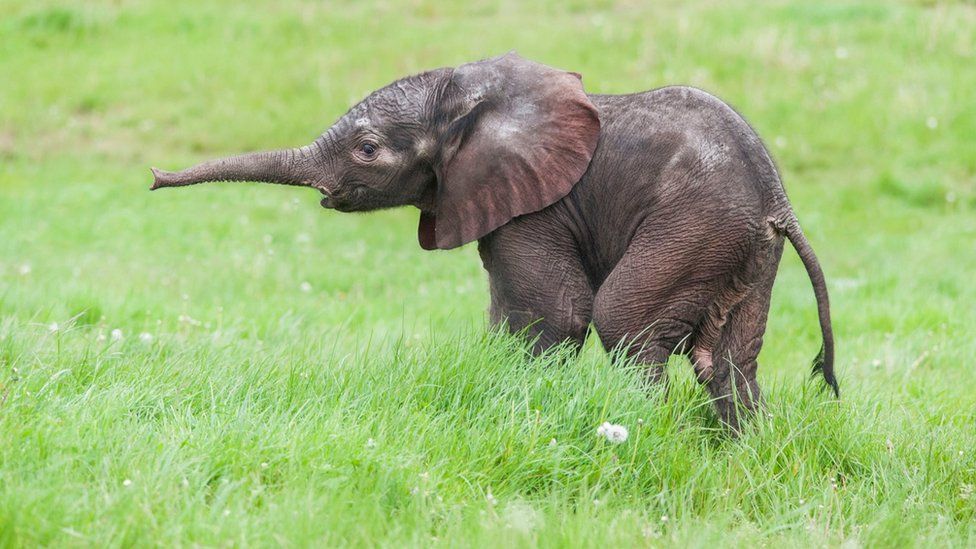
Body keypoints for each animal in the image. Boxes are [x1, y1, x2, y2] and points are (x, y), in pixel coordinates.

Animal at [150, 53, 837, 430]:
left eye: (367, 149)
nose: (154, 178)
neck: (468, 96)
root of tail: (777, 202)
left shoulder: (536, 208)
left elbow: (554, 313)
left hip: (692, 226)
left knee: (625, 323)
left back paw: (640, 428)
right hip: (738, 247)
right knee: (728, 358)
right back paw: (741, 449)